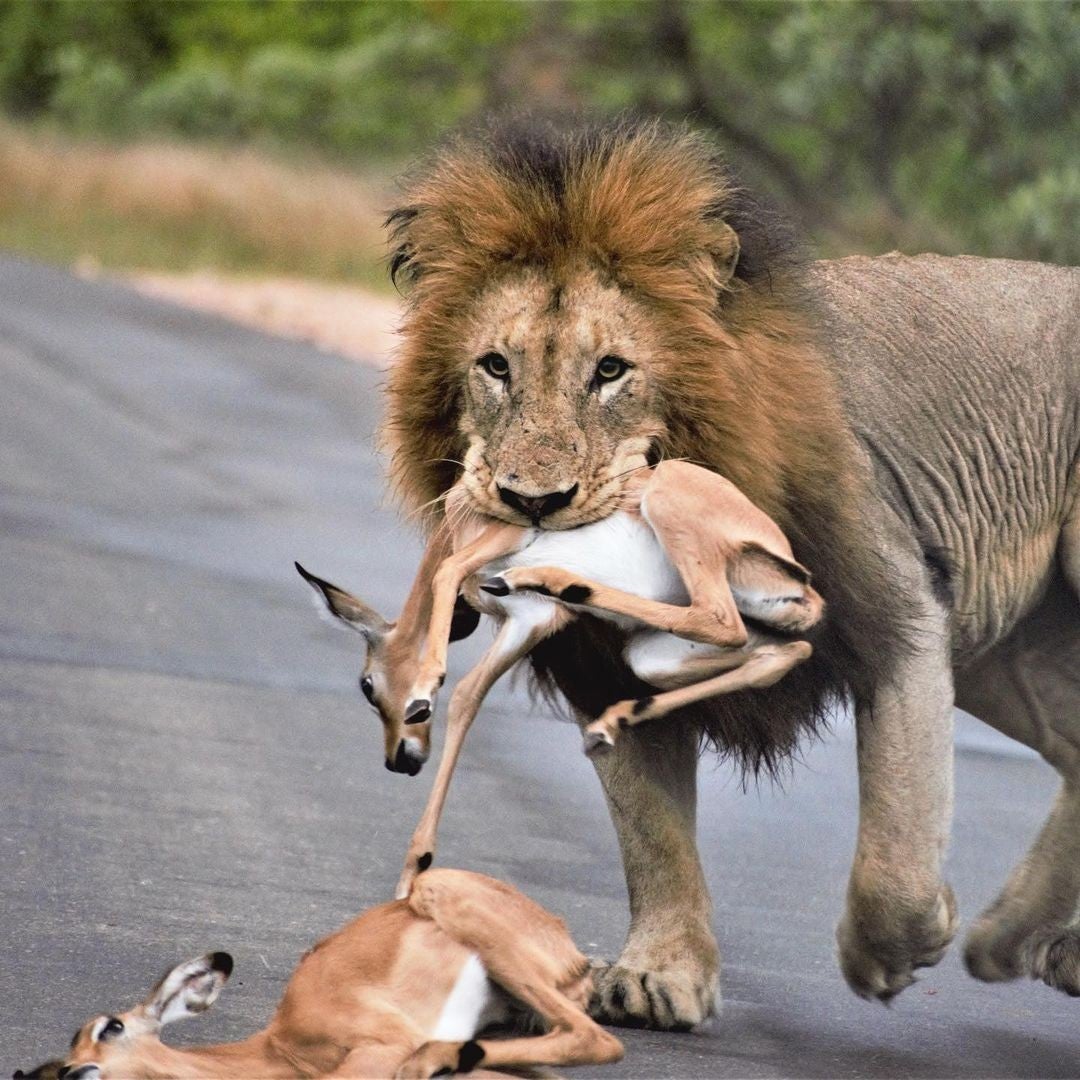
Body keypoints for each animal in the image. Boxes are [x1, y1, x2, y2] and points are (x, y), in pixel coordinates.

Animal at [380, 117, 1080, 1028]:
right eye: (496, 366)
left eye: (610, 371)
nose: (534, 500)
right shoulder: (601, 665)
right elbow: (655, 836)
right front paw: (659, 974)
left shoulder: (896, 611)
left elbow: (897, 850)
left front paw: (891, 951)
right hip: (1013, 661)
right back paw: (1022, 943)